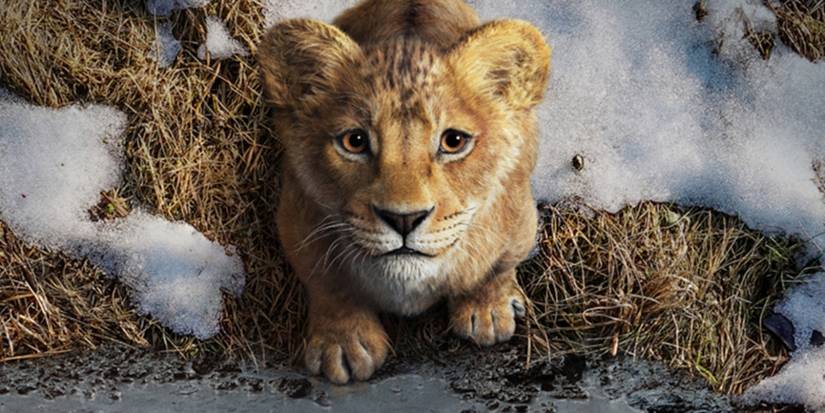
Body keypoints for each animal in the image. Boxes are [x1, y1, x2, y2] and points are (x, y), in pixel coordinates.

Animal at [258, 0, 551, 384]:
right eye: (355, 141)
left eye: (453, 141)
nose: (404, 219)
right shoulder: (297, 216)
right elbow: (328, 283)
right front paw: (344, 343)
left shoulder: (519, 218)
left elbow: (497, 266)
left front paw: (488, 310)